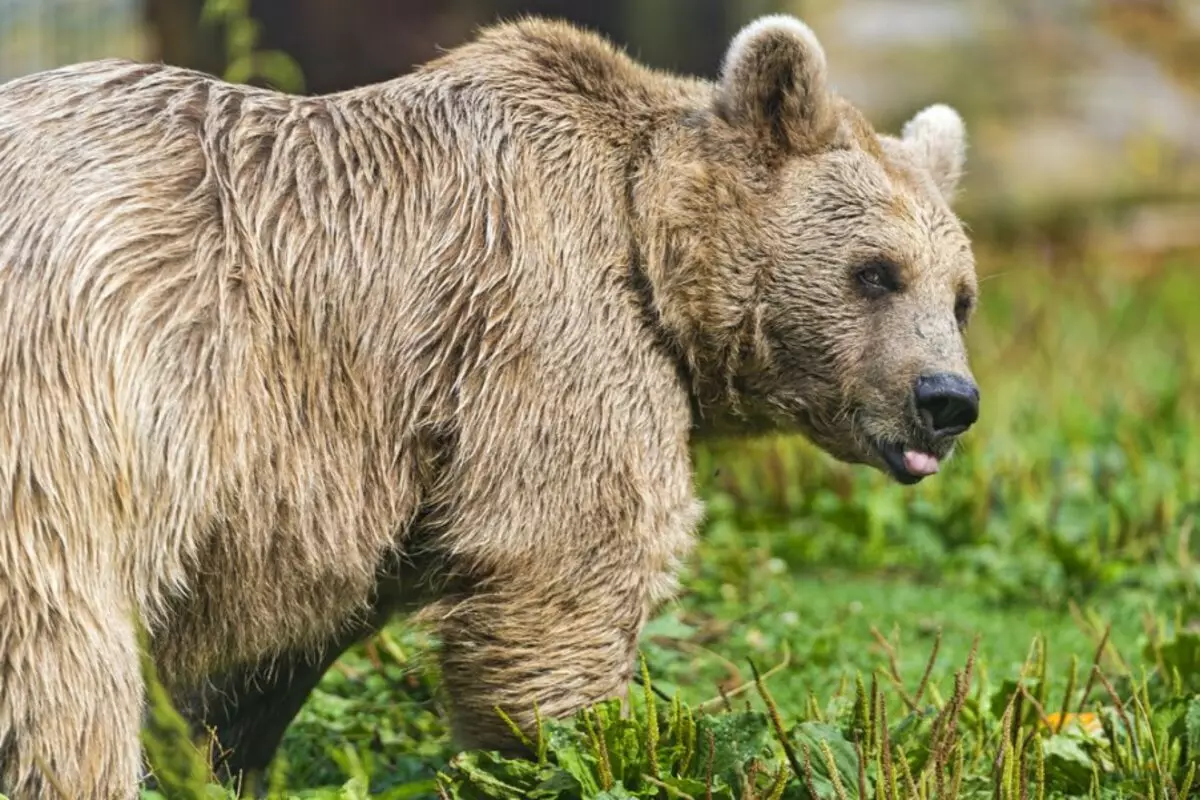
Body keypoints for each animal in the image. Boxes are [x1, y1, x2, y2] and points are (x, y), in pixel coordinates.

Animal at [0, 14, 979, 800]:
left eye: (961, 296)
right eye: (876, 272)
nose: (948, 399)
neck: (650, 247)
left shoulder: (329, 485)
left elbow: (266, 652)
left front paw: (222, 753)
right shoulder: (537, 334)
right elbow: (565, 574)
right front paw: (597, 749)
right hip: (78, 382)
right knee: (63, 648)